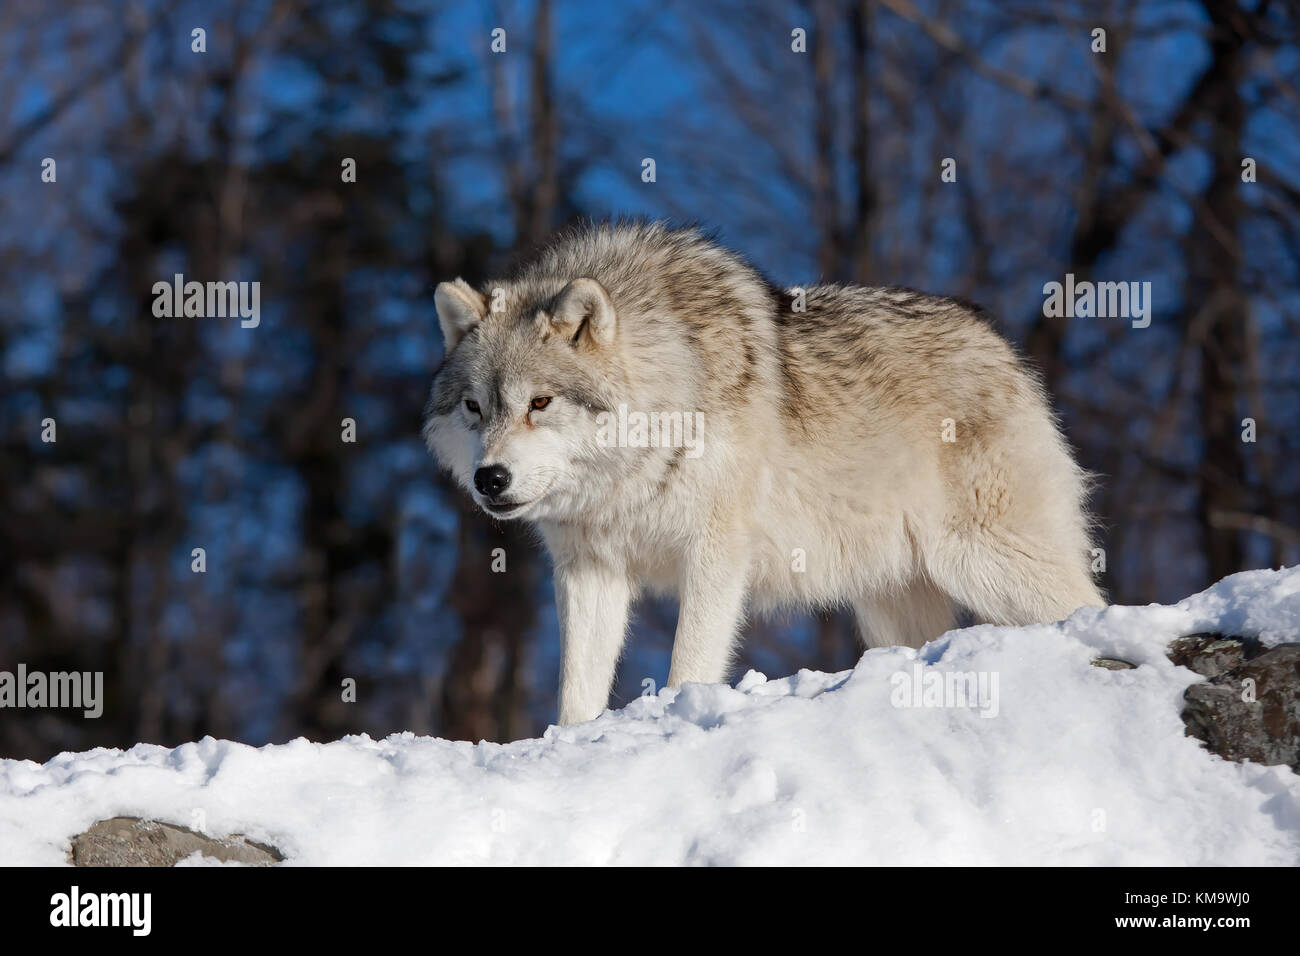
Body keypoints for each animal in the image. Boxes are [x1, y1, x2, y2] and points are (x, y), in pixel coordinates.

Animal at [424, 221, 1105, 725]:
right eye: (475, 407)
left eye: (539, 403)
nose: (490, 479)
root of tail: (1003, 349)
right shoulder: (589, 568)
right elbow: (577, 692)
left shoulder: (715, 553)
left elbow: (690, 663)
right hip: (891, 600)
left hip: (987, 562)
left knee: (1087, 603)